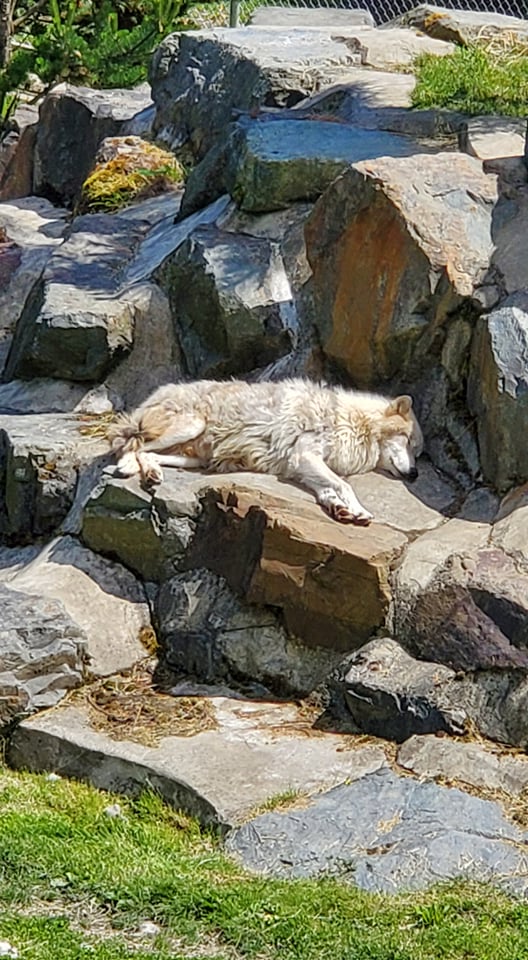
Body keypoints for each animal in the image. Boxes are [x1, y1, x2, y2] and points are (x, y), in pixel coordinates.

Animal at [108, 378, 423, 524]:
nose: (415, 473)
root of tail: (151, 395)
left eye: (417, 452)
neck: (353, 421)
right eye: (410, 443)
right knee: (132, 444)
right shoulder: (305, 456)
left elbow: (327, 490)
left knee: (148, 454)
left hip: (194, 457)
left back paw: (151, 474)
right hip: (191, 425)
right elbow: (343, 485)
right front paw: (359, 510)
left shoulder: (300, 467)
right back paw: (125, 466)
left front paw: (340, 509)